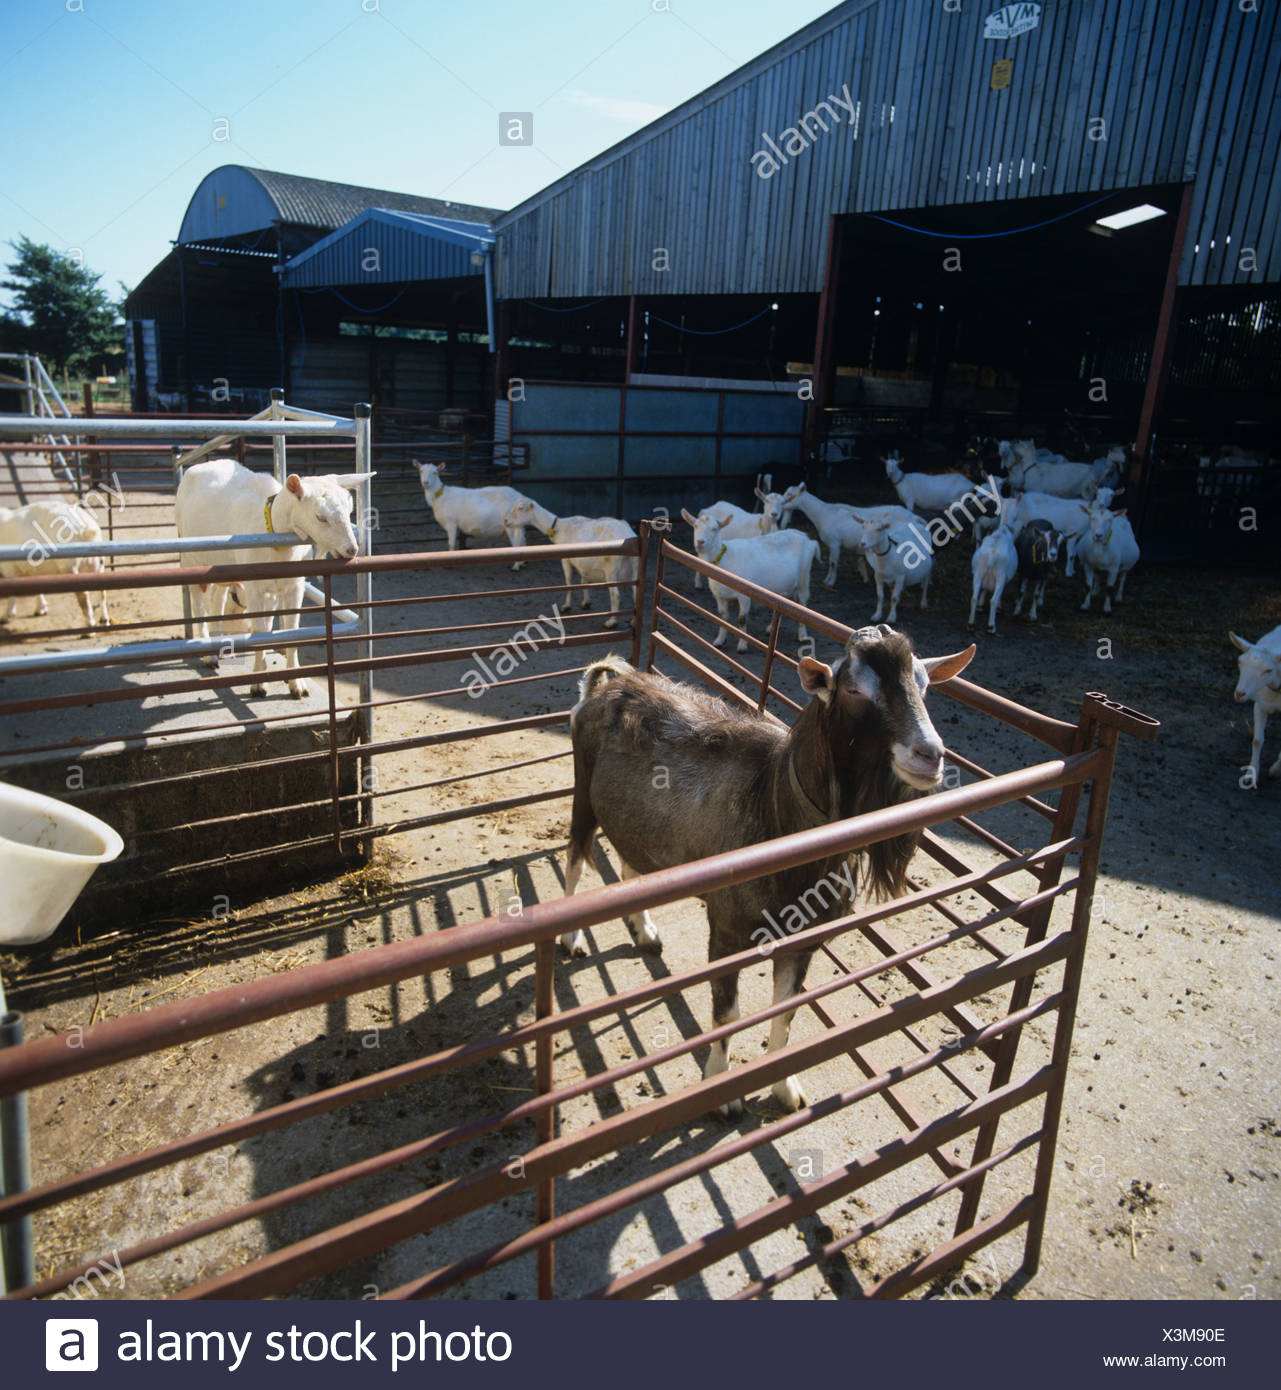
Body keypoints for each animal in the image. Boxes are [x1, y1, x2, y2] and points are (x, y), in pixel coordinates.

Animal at [175, 459, 371, 698]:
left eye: (350, 511)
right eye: (320, 517)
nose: (351, 549)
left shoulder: (292, 586)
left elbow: (287, 629)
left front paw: (296, 683)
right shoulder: (254, 588)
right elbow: (260, 631)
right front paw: (259, 683)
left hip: (222, 564)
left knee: (218, 596)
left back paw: (219, 642)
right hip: (189, 555)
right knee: (198, 600)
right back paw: (209, 654)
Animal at [504, 498, 638, 629]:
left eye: (520, 508)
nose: (506, 521)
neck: (559, 527)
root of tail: (628, 535)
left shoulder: (565, 559)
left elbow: (568, 582)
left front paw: (566, 606)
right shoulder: (583, 562)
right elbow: (583, 580)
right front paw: (586, 603)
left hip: (611, 568)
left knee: (615, 595)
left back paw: (611, 622)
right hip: (635, 567)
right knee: (636, 591)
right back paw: (633, 621)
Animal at [561, 630, 976, 1113]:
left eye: (925, 684)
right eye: (853, 689)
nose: (930, 755)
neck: (773, 807)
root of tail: (606, 683)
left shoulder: (804, 941)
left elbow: (787, 1011)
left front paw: (785, 1088)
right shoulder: (726, 930)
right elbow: (727, 1014)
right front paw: (721, 1092)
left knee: (632, 860)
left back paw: (645, 932)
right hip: (582, 789)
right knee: (575, 858)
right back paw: (572, 941)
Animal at [680, 510, 817, 653]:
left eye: (715, 529)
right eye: (695, 526)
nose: (700, 542)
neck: (725, 559)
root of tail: (805, 537)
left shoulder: (744, 596)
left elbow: (742, 620)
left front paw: (742, 646)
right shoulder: (719, 596)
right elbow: (723, 618)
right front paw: (719, 641)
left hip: (804, 578)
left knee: (803, 605)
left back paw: (802, 635)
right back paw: (771, 628)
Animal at [1230, 627, 1281, 787]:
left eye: (1268, 670)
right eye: (1240, 662)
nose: (1240, 693)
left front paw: (1275, 771)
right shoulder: (1260, 705)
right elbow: (1258, 740)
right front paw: (1250, 776)